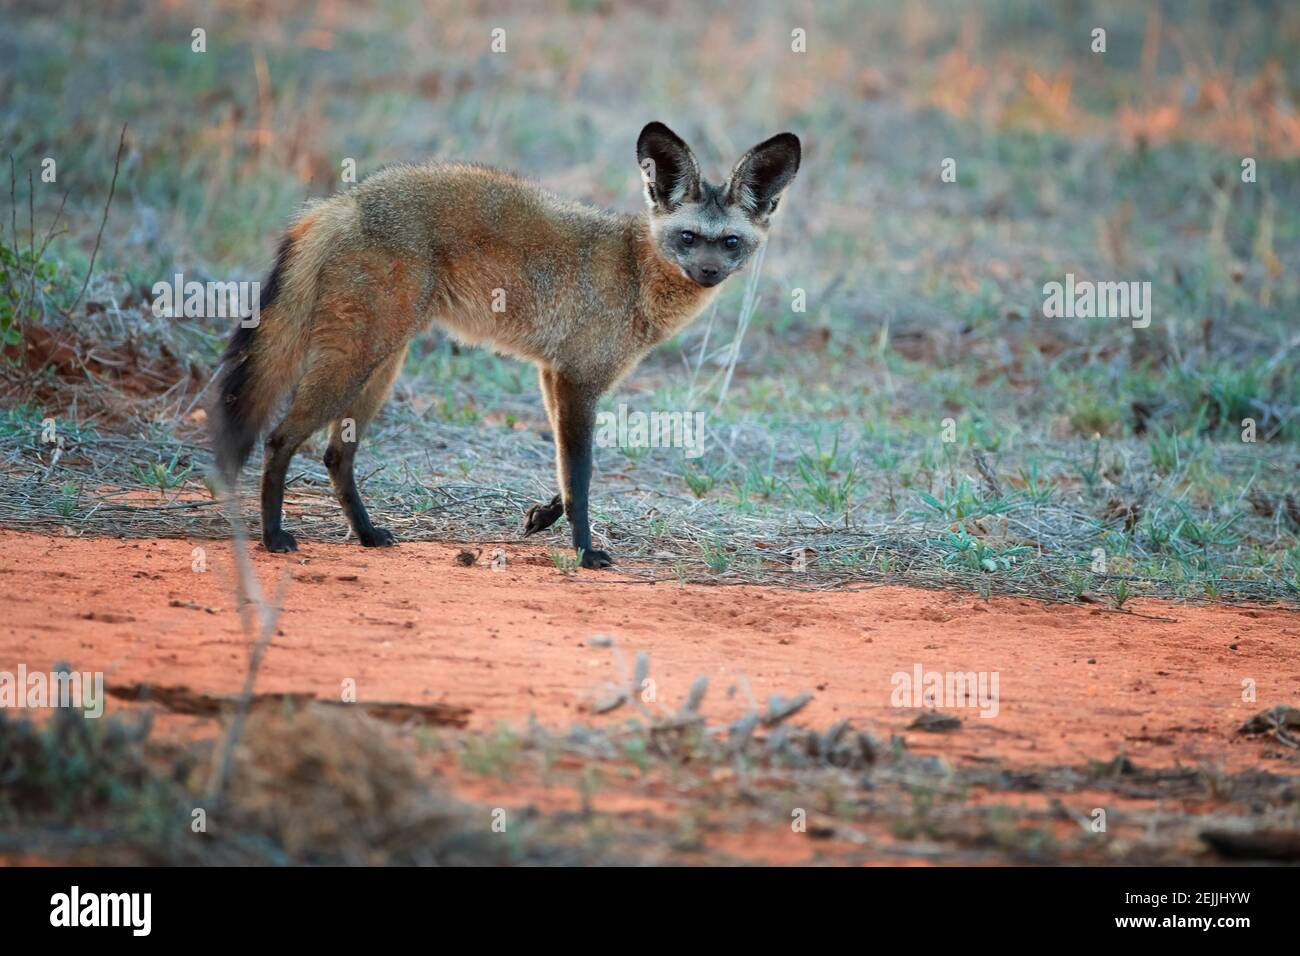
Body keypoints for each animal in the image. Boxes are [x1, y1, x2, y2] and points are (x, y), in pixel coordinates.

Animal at [210, 121, 800, 568]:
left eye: (730, 242)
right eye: (688, 238)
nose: (708, 272)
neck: (635, 274)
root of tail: (342, 201)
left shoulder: (554, 375)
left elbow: (565, 473)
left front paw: (543, 517)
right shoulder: (578, 381)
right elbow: (582, 476)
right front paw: (584, 552)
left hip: (380, 365)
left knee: (336, 455)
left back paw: (367, 534)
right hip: (356, 361)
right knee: (280, 439)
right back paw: (272, 537)